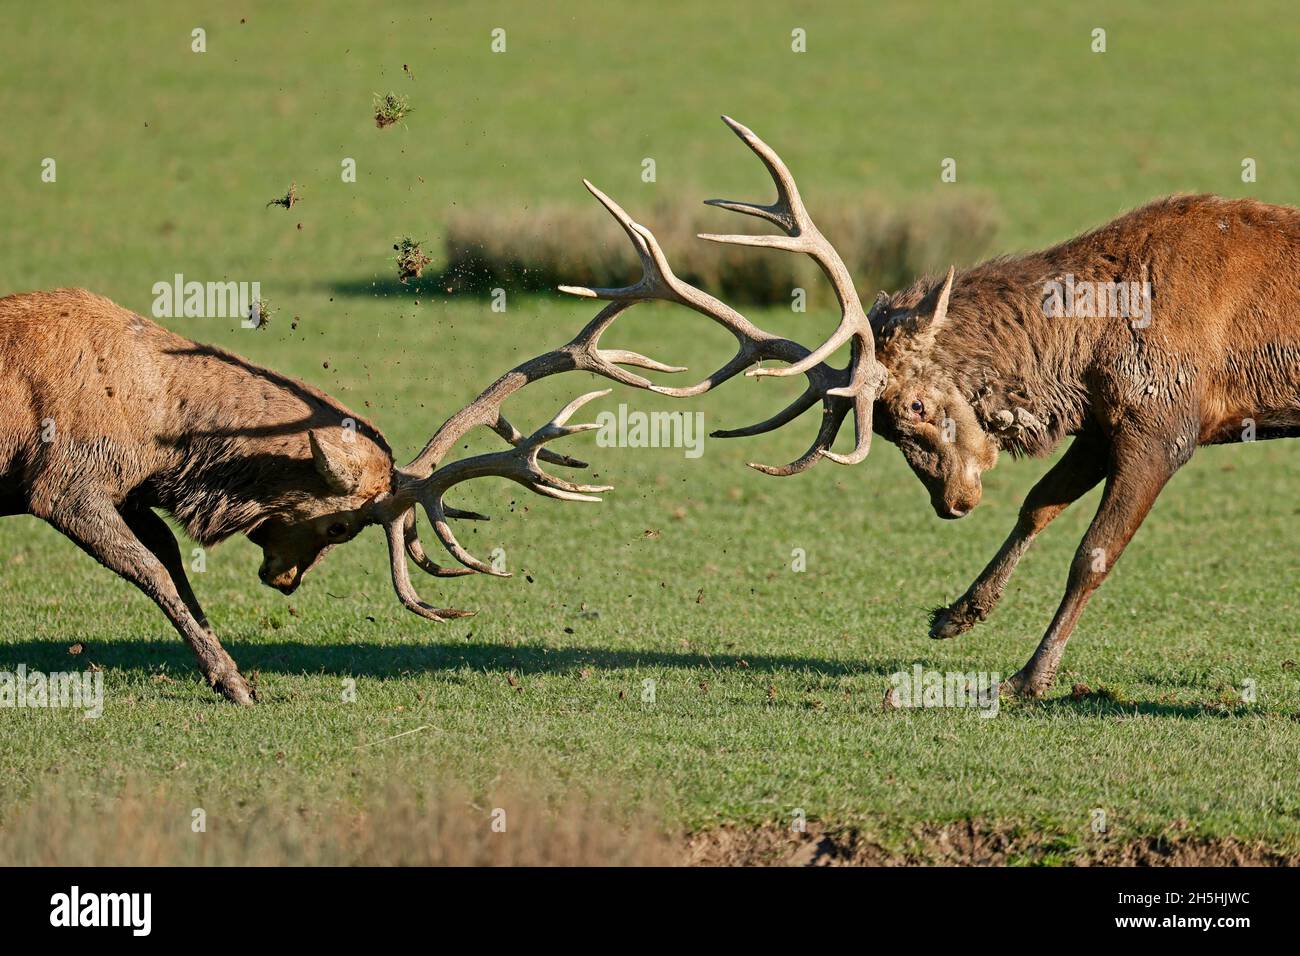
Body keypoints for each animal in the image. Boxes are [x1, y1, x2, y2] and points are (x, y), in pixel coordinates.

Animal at [552, 116, 1300, 698]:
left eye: (913, 403)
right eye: (882, 430)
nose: (954, 501)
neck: (1089, 342)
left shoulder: (1165, 423)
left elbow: (1091, 556)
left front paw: (1027, 678)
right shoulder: (1102, 420)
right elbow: (1039, 503)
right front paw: (958, 613)